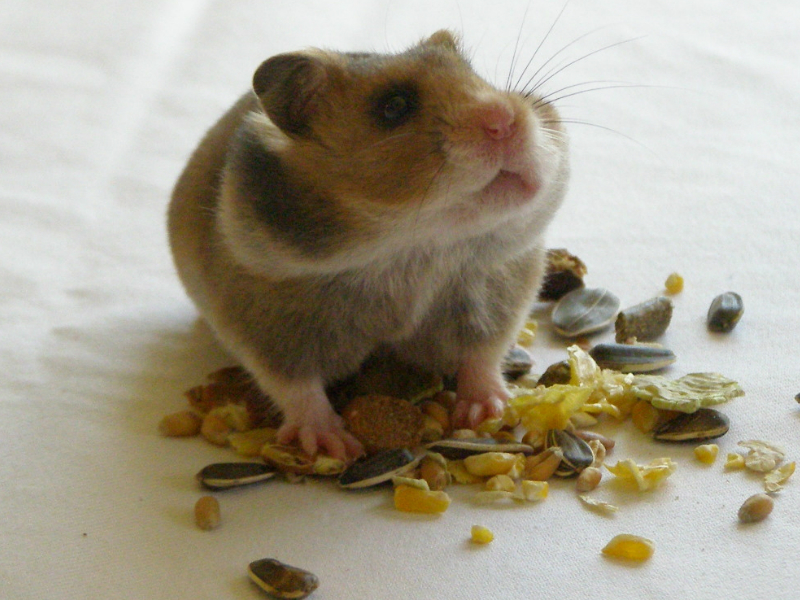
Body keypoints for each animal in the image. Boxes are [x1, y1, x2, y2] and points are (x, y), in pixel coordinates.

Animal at [168, 30, 569, 461]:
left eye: (477, 76)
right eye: (393, 107)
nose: (505, 119)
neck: (411, 246)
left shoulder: (493, 293)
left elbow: (482, 355)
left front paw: (490, 411)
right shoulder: (267, 322)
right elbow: (295, 386)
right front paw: (334, 445)